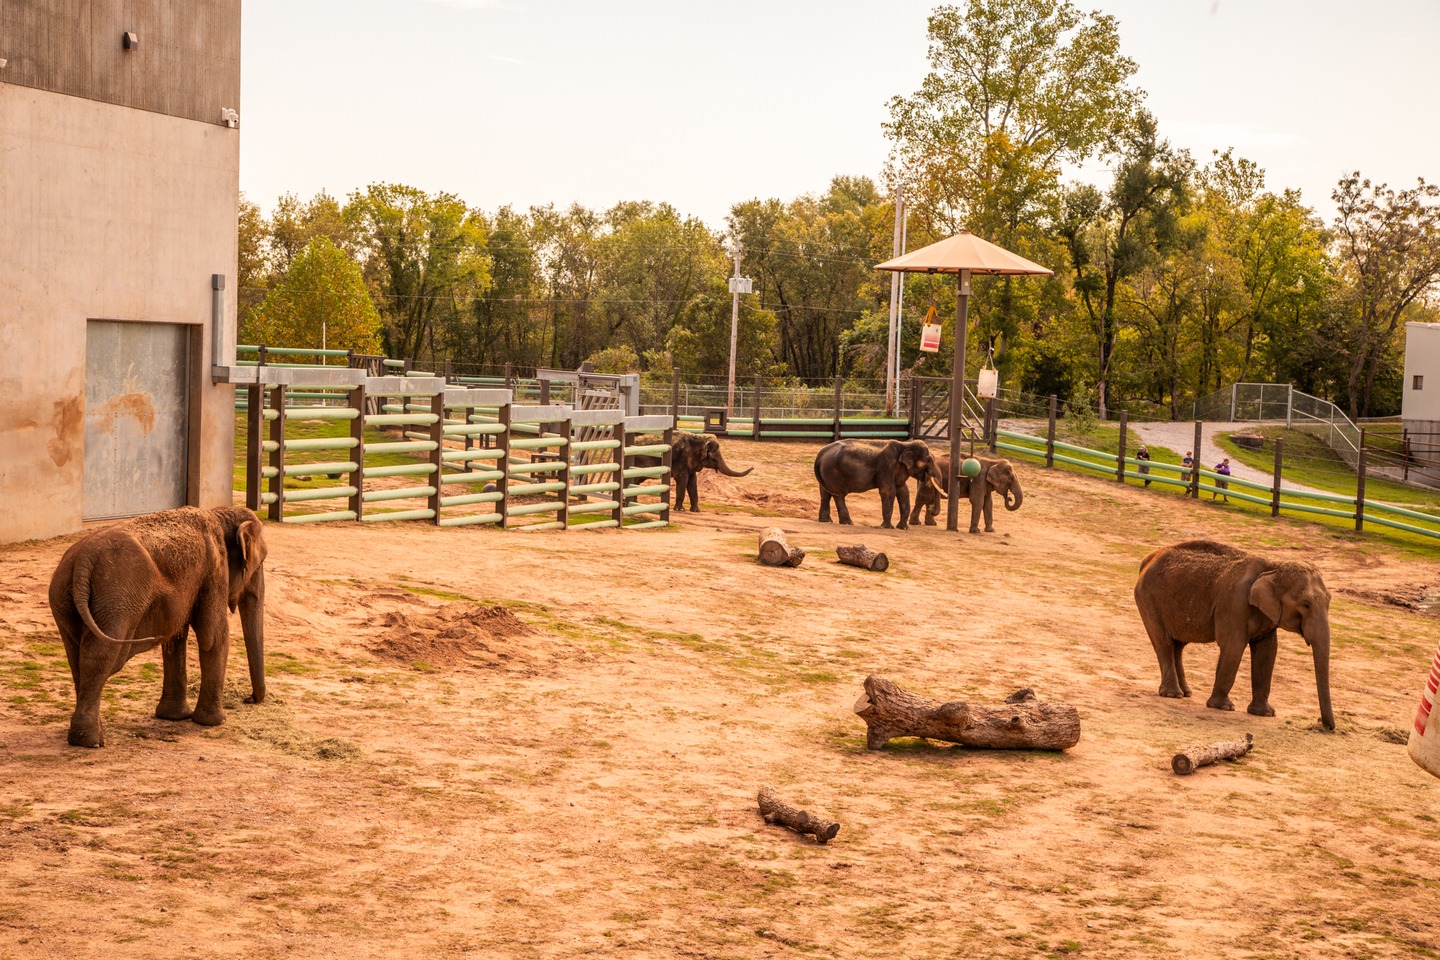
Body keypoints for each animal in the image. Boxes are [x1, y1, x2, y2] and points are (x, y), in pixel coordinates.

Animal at [48, 506, 269, 747]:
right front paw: (214, 722)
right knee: (100, 657)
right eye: (259, 563)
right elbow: (213, 637)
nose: (249, 699)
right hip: (115, 603)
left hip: (65, 600)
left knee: (77, 659)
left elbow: (175, 639)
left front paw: (174, 717)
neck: (217, 514)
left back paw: (90, 736)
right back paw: (91, 742)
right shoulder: (214, 569)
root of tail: (83, 560)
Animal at [813, 438, 941, 530]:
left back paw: (826, 521)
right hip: (833, 472)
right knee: (839, 495)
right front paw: (888, 527)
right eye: (929, 460)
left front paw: (904, 528)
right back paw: (848, 523)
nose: (931, 509)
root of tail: (820, 454)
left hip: (826, 473)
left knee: (825, 494)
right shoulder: (886, 466)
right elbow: (889, 491)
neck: (905, 444)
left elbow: (903, 491)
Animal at [1133, 539, 1334, 730]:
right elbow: (1233, 646)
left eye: (1329, 601)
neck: (1273, 566)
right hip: (1148, 599)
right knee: (1164, 643)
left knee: (1178, 645)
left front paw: (1265, 713)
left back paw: (1186, 693)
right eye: (1305, 605)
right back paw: (1173, 694)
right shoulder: (1234, 603)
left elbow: (1267, 652)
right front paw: (1223, 707)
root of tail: (1148, 559)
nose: (1322, 723)